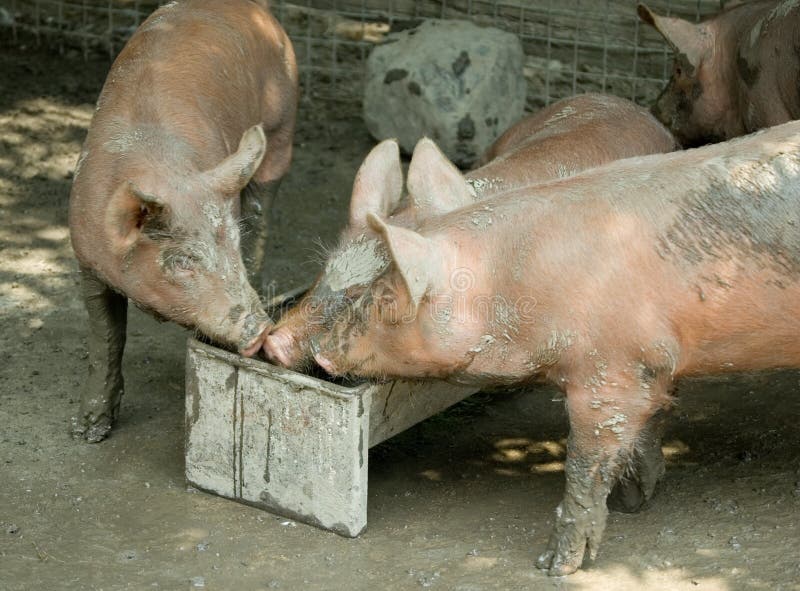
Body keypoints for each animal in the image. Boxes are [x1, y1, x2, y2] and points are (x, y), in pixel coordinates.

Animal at [68, 0, 298, 442]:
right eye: (183, 261)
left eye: (231, 247)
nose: (260, 328)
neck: (165, 173)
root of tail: (255, 7)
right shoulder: (86, 258)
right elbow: (106, 335)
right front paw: (87, 433)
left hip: (281, 128)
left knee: (264, 207)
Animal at [312, 121, 800, 574]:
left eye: (384, 295)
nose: (317, 347)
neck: (514, 282)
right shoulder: (654, 366)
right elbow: (651, 422)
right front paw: (636, 499)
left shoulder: (609, 372)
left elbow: (584, 465)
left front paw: (554, 566)